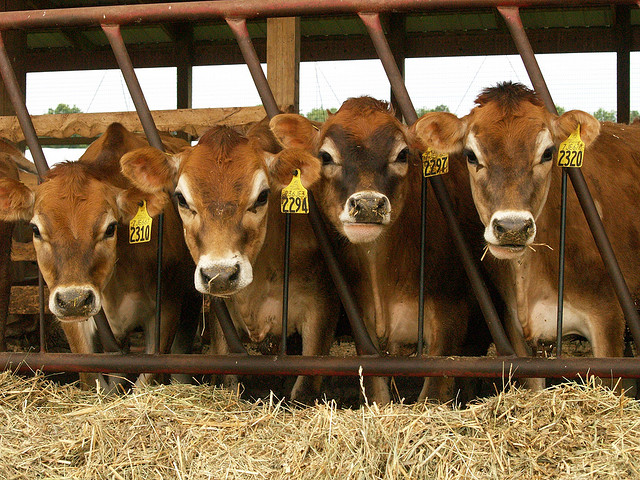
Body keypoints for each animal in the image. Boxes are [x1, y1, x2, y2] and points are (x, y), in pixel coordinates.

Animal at [0, 123, 195, 390]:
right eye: (35, 229)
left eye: (110, 228)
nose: (73, 299)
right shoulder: (71, 321)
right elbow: (92, 379)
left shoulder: (167, 309)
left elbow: (147, 379)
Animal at [119, 121, 340, 404]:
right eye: (181, 198)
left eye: (263, 196)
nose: (220, 275)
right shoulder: (221, 321)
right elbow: (227, 379)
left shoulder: (322, 310)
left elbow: (304, 390)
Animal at [270, 97, 486, 405]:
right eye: (325, 156)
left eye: (403, 154)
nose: (368, 205)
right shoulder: (362, 319)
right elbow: (376, 392)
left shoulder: (450, 310)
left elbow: (433, 393)